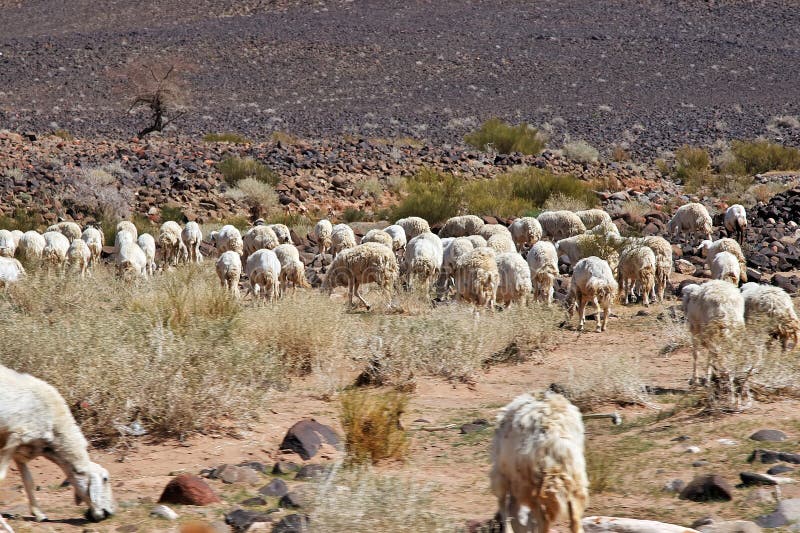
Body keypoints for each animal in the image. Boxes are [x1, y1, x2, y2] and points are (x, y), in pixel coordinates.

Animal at [0, 366, 114, 529]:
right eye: (105, 479)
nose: (110, 513)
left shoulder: (22, 450)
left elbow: (29, 481)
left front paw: (39, 514)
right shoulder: (14, 438)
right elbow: (2, 477)